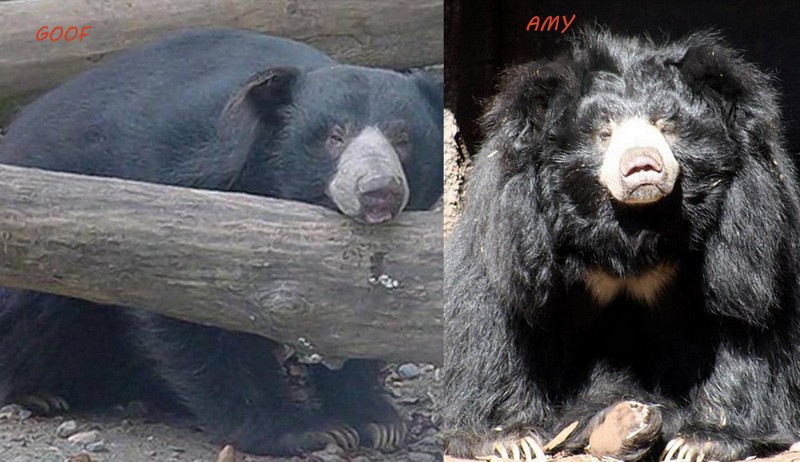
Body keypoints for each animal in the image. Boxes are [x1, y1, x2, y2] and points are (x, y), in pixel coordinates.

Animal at [0, 29, 442, 456]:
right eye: (335, 136)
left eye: (403, 139)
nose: (379, 191)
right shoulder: (178, 185)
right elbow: (191, 316)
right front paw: (306, 431)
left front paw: (377, 422)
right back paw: (41, 393)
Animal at [444, 27, 800, 462]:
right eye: (604, 133)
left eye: (667, 127)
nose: (642, 165)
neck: (630, 227)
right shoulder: (514, 222)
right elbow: (498, 310)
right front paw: (508, 438)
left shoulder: (751, 220)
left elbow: (744, 314)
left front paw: (703, 440)